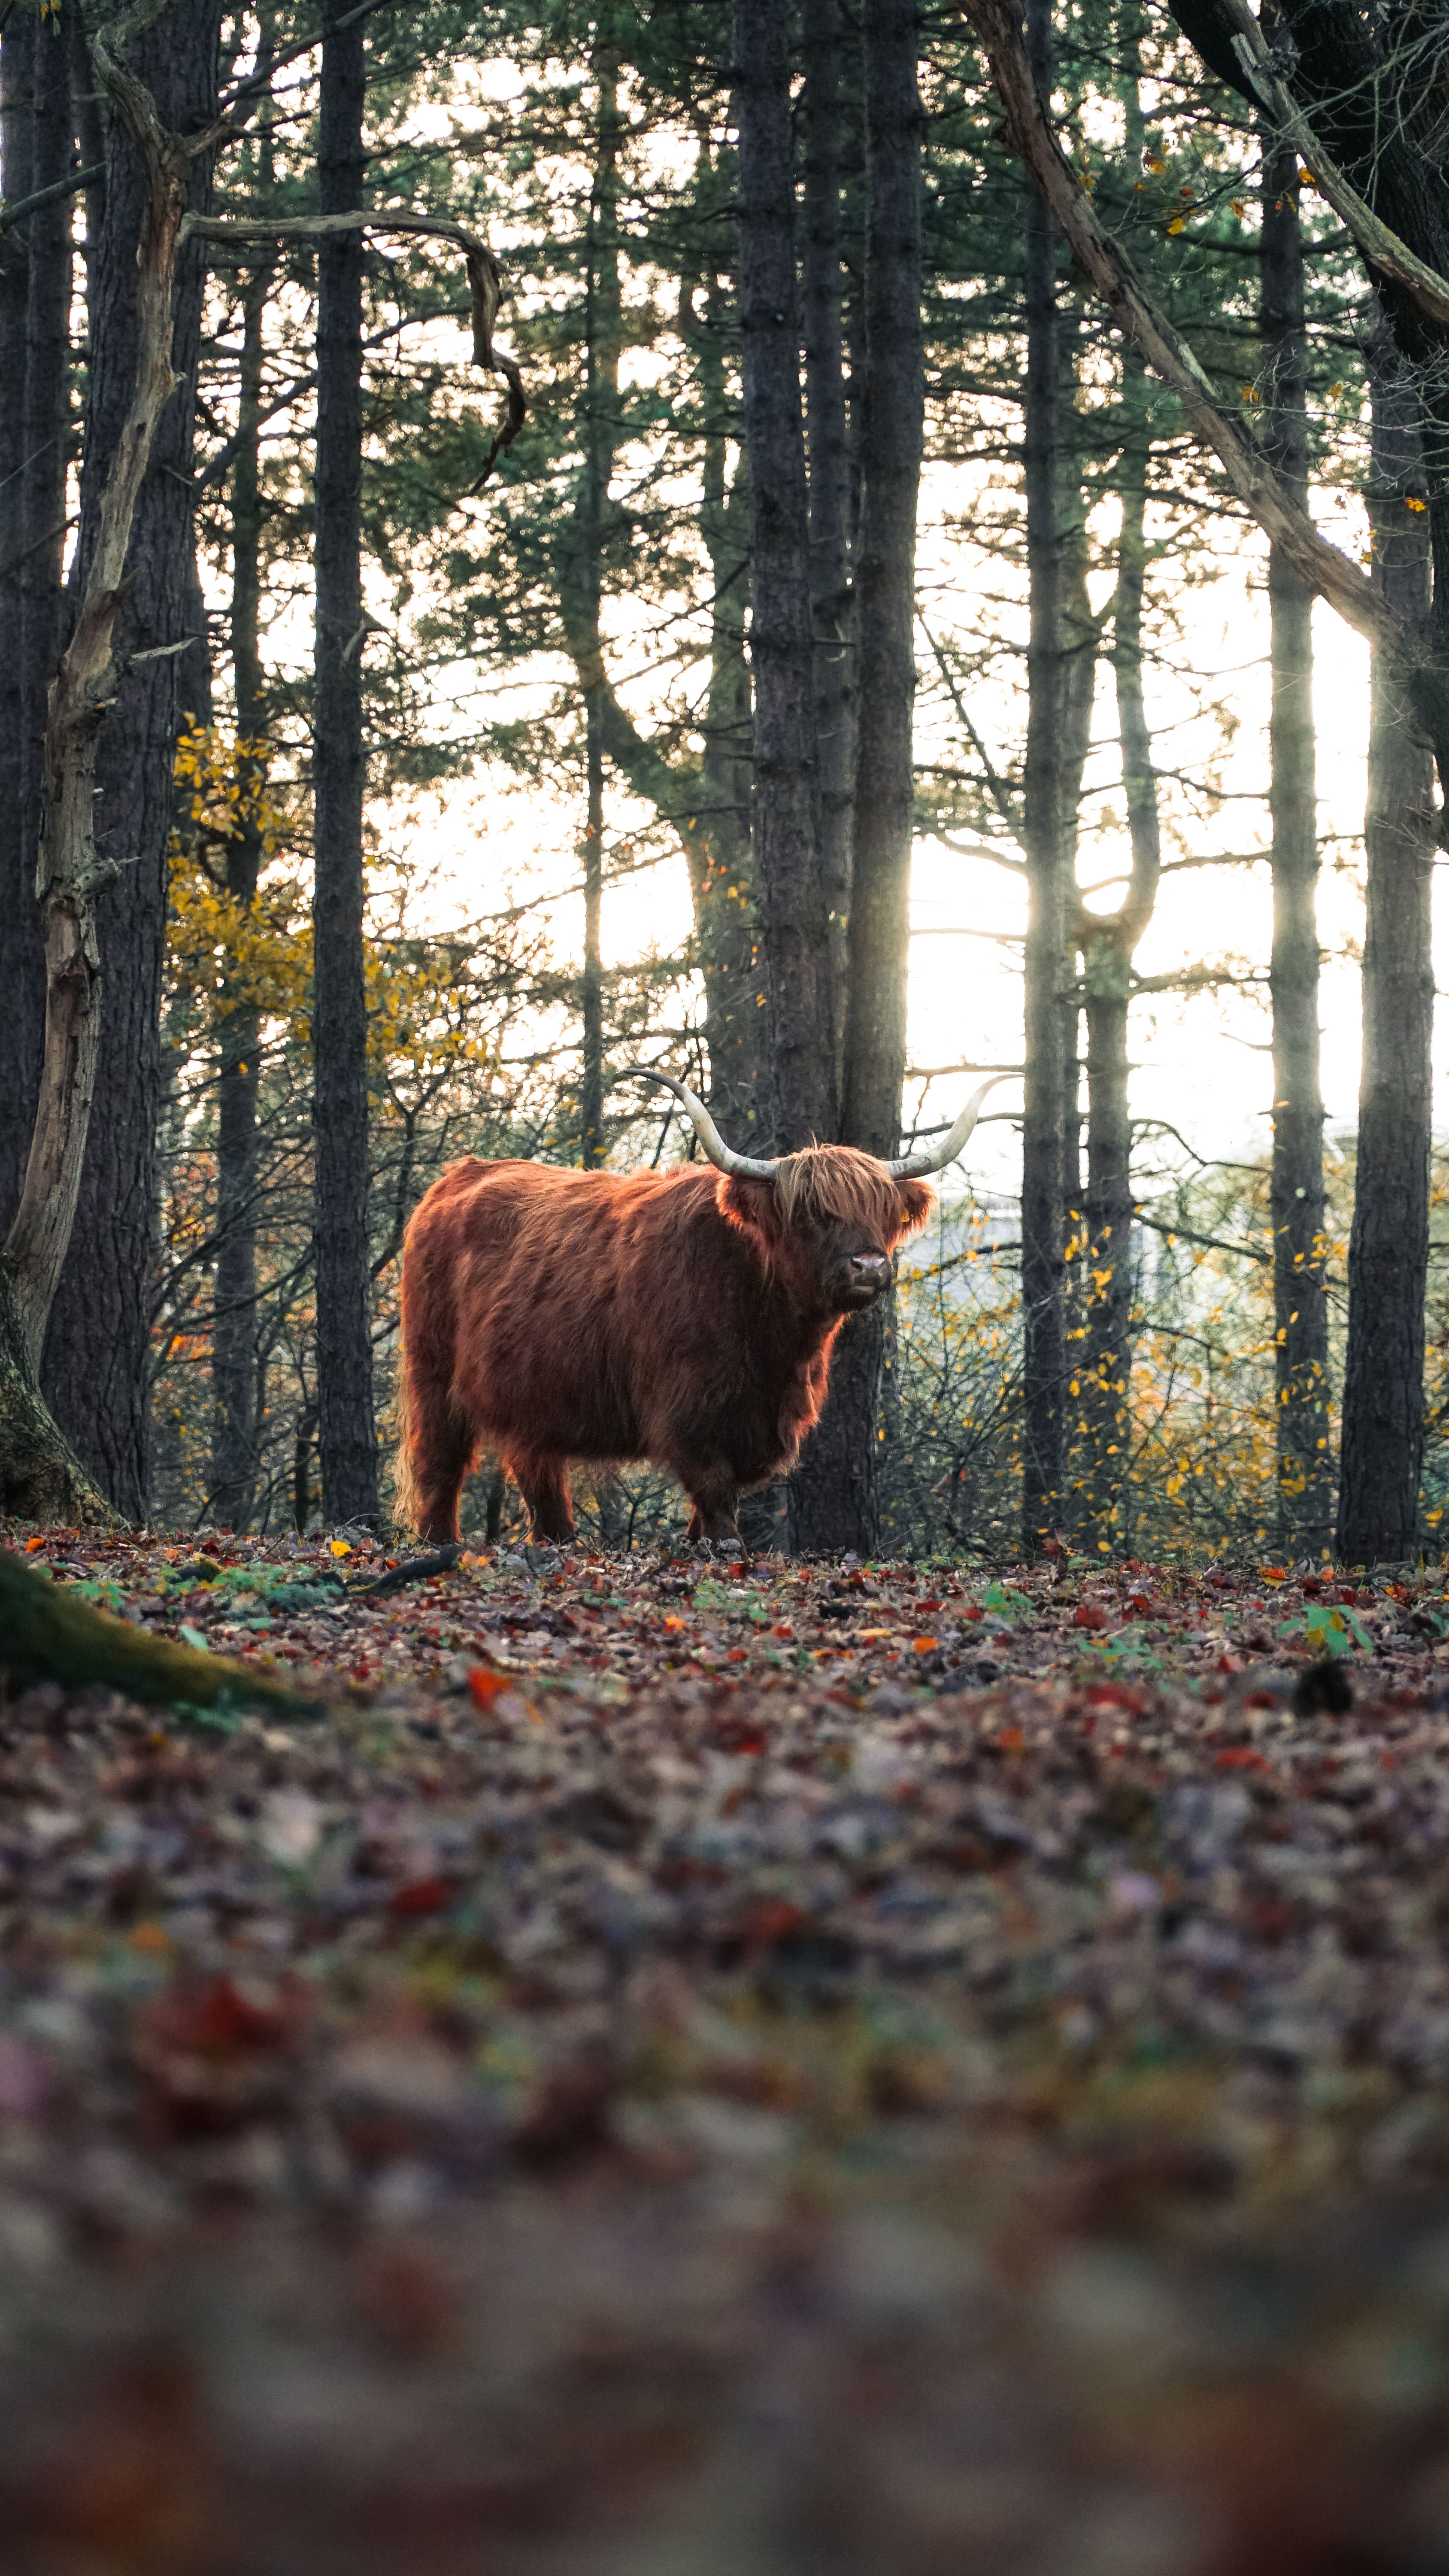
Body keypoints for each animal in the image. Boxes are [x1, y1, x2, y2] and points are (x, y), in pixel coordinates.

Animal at [392, 1067, 1008, 1546]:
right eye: (812, 1213)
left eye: (883, 1212)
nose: (869, 1267)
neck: (775, 1344)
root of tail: (459, 1174)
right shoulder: (687, 1406)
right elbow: (713, 1487)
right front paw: (722, 1545)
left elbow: (723, 1489)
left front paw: (696, 1543)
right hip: (433, 1371)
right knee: (440, 1460)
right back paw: (441, 1543)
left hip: (533, 1393)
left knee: (536, 1464)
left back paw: (558, 1538)